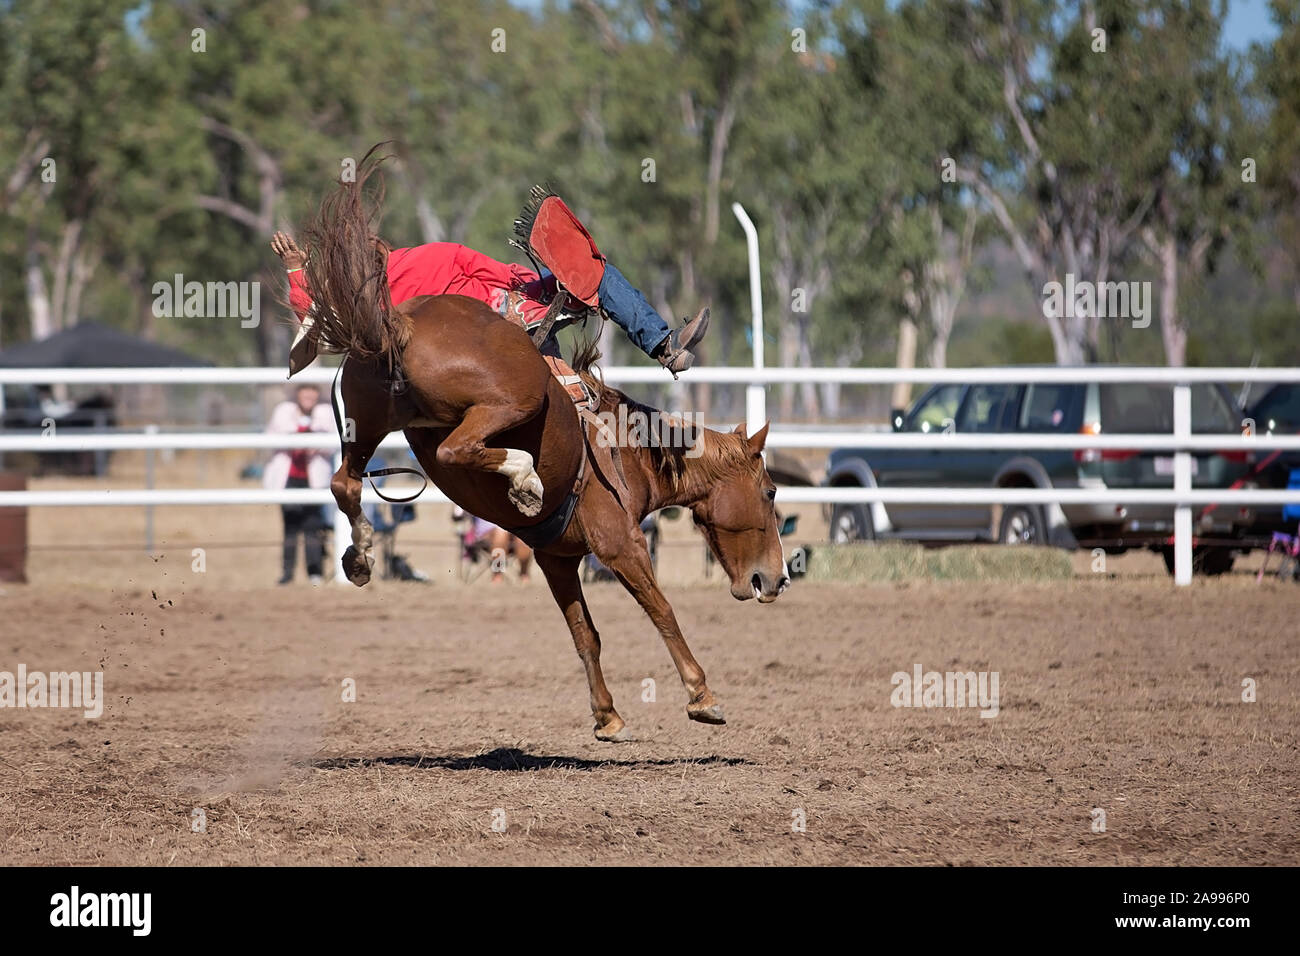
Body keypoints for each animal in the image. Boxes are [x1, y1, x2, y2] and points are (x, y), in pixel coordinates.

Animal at [300, 150, 789, 740]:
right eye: (769, 492)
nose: (777, 579)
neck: (631, 450)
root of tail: (402, 322)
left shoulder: (556, 558)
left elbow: (585, 634)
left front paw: (607, 716)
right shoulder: (620, 544)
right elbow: (663, 611)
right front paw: (702, 697)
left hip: (366, 420)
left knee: (345, 482)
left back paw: (361, 556)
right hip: (516, 399)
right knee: (451, 451)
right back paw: (524, 477)